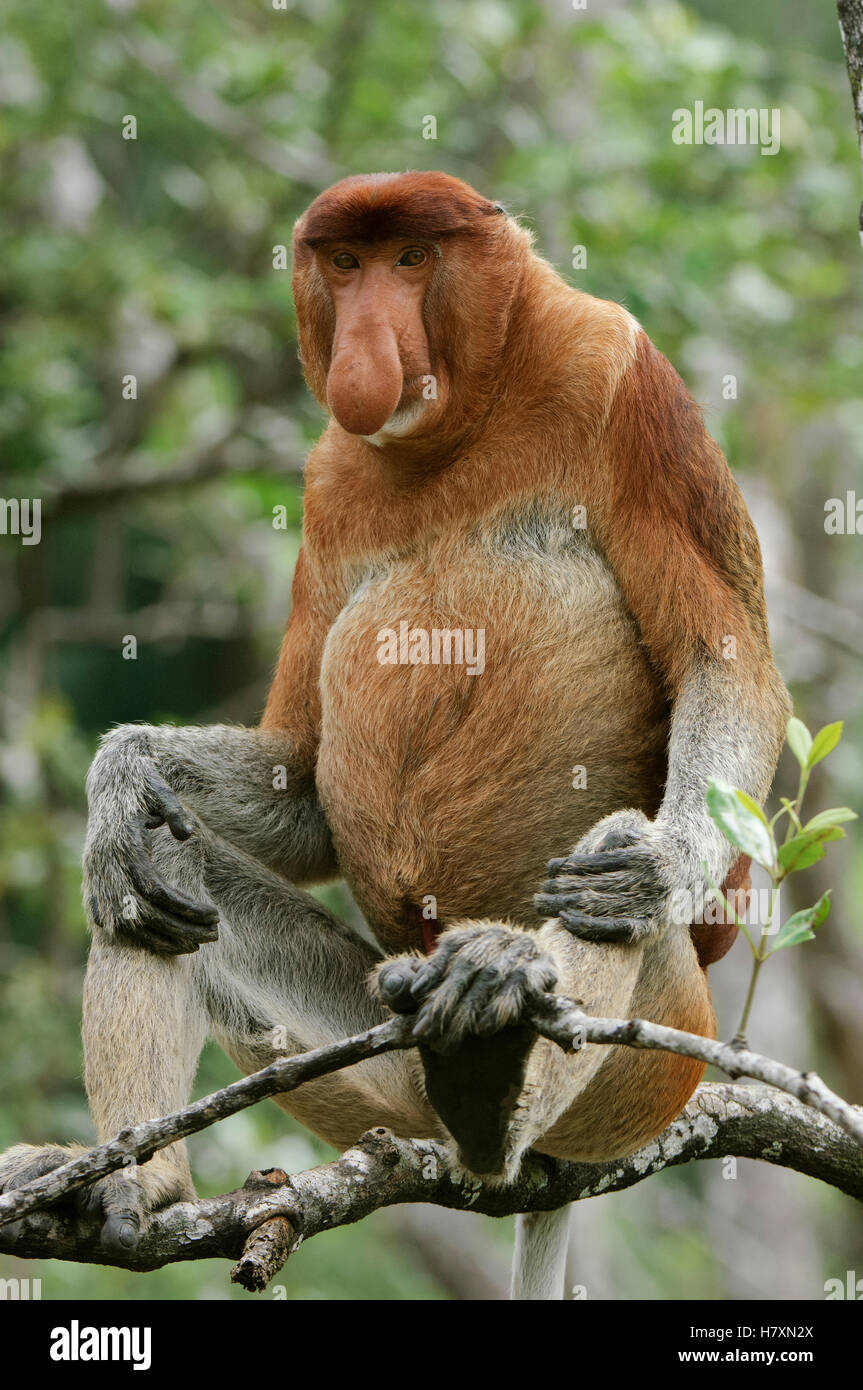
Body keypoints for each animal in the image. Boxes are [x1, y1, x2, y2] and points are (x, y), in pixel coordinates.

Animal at [0, 171, 789, 1297]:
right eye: (345, 264)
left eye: (413, 259)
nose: (366, 345)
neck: (460, 419)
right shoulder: (326, 478)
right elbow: (297, 786)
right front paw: (122, 781)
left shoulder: (619, 373)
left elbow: (722, 665)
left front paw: (650, 864)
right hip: (374, 1062)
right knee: (156, 888)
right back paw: (134, 1183)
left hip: (657, 1061)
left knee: (606, 921)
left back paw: (497, 1027)